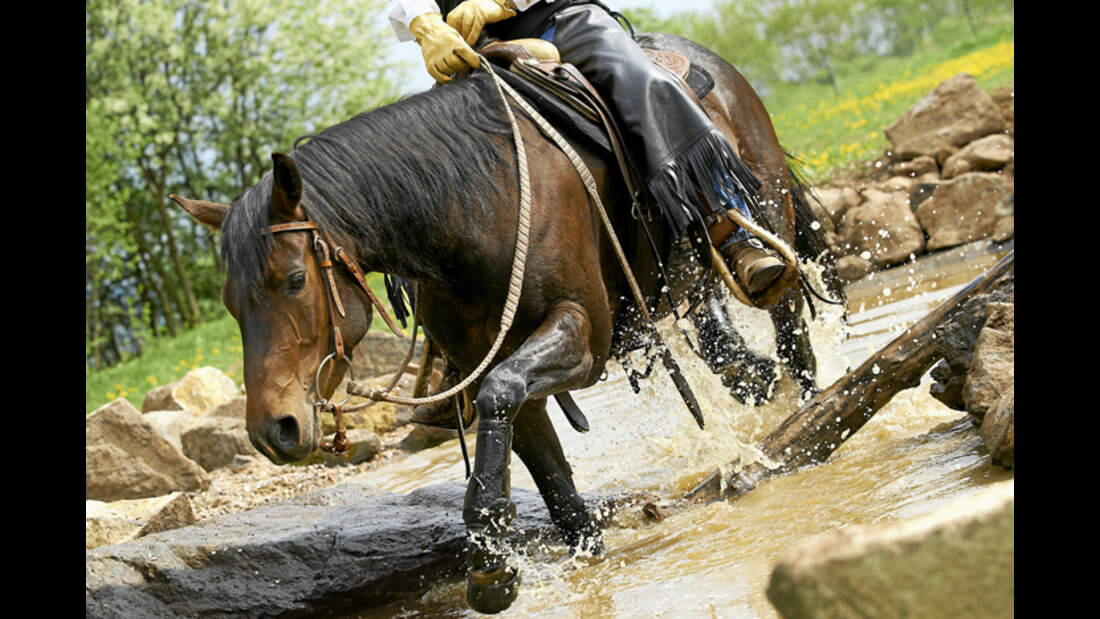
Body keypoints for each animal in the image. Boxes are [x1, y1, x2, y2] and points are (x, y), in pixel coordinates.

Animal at [172, 32, 843, 614]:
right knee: (737, 361)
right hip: (690, 286)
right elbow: (557, 490)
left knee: (795, 345)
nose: (273, 430)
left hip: (772, 226)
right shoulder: (490, 363)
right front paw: (512, 560)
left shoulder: (582, 333)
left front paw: (489, 551)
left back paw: (811, 419)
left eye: (293, 279)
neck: (472, 203)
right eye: (231, 303)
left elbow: (504, 397)